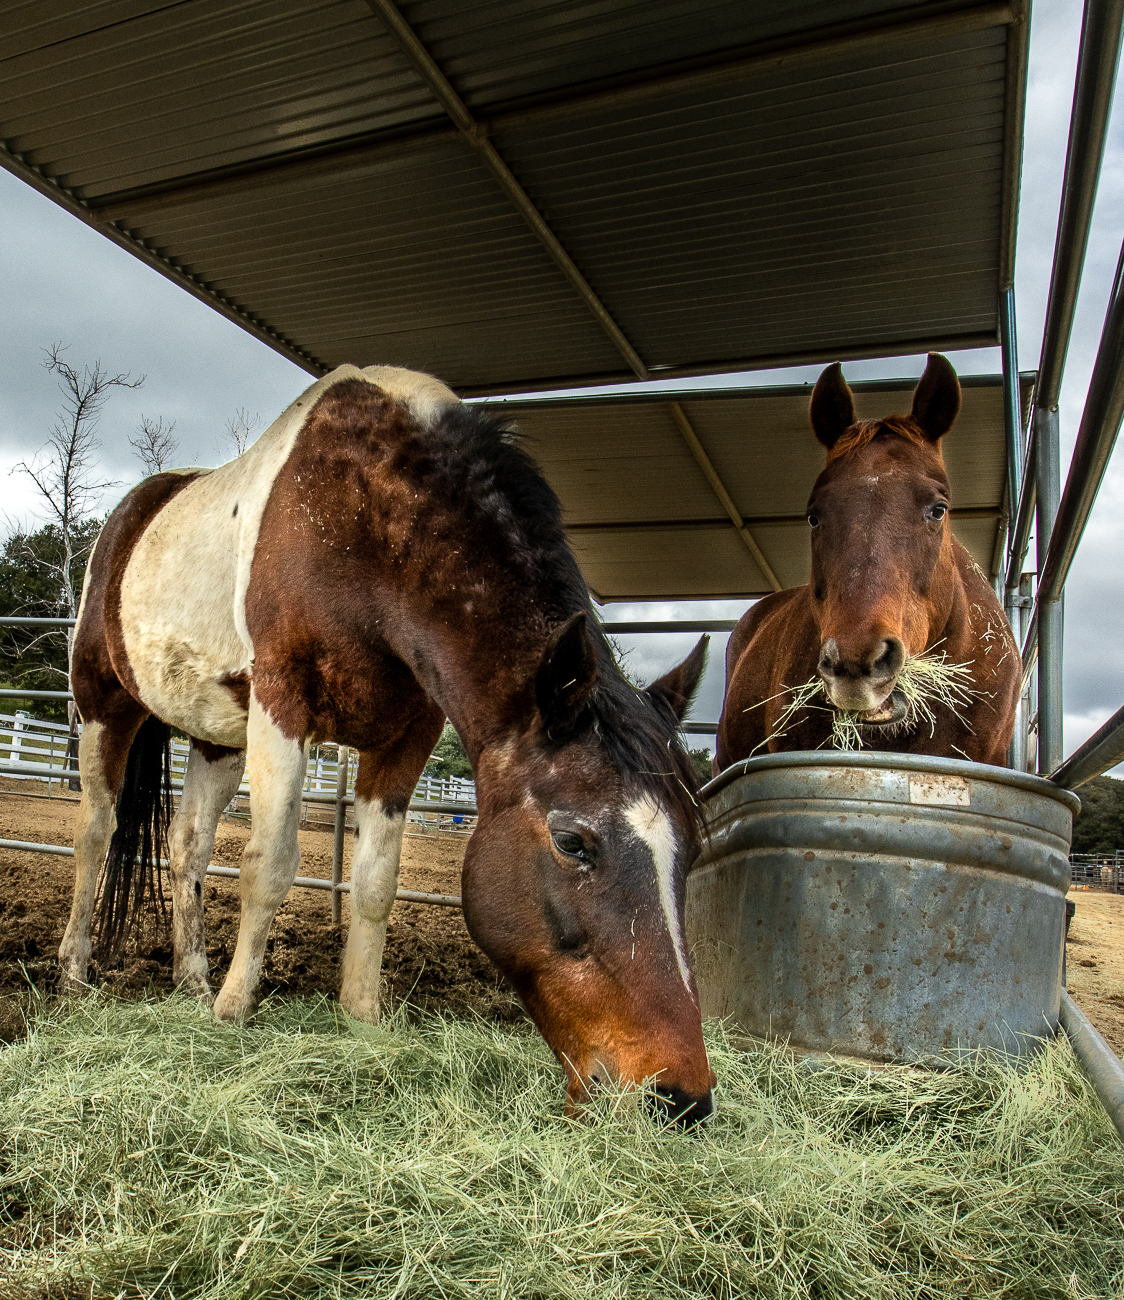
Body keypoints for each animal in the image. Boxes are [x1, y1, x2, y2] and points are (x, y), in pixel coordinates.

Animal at [59, 364, 715, 1124]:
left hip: (215, 738)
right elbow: (269, 864)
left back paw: (190, 979)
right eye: (572, 841)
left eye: (692, 846)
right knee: (96, 831)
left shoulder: (407, 737)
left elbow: (376, 882)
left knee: (187, 845)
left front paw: (360, 1018)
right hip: (104, 709)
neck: (365, 519)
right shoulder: (283, 706)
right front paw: (234, 1012)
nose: (682, 1098)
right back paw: (76, 973)